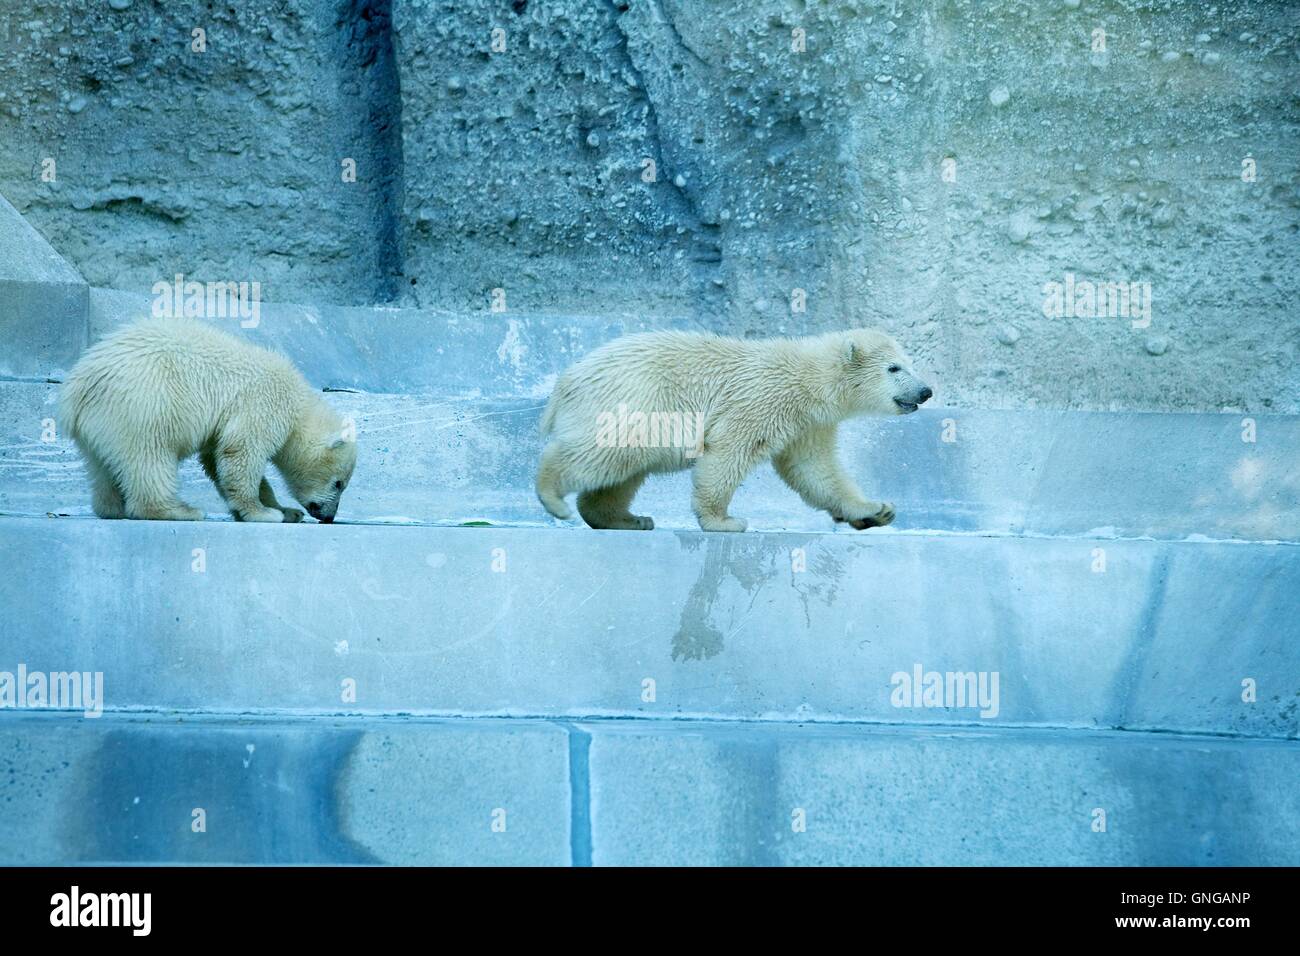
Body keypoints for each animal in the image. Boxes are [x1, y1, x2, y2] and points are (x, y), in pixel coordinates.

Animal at [59, 317, 356, 523]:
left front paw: (287, 510)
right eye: (339, 483)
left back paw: (112, 507)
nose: (329, 516)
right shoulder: (264, 402)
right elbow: (242, 452)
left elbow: (216, 458)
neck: (300, 404)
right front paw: (264, 513)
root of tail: (76, 392)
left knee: (102, 467)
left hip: (103, 422)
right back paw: (179, 510)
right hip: (144, 405)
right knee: (149, 456)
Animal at [535, 328, 932, 532]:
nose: (926, 391)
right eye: (895, 368)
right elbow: (729, 453)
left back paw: (628, 519)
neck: (807, 378)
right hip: (635, 399)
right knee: (606, 452)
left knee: (621, 474)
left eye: (910, 364)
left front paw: (876, 510)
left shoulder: (809, 424)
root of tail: (567, 380)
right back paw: (552, 496)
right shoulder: (761, 401)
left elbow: (815, 471)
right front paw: (723, 521)